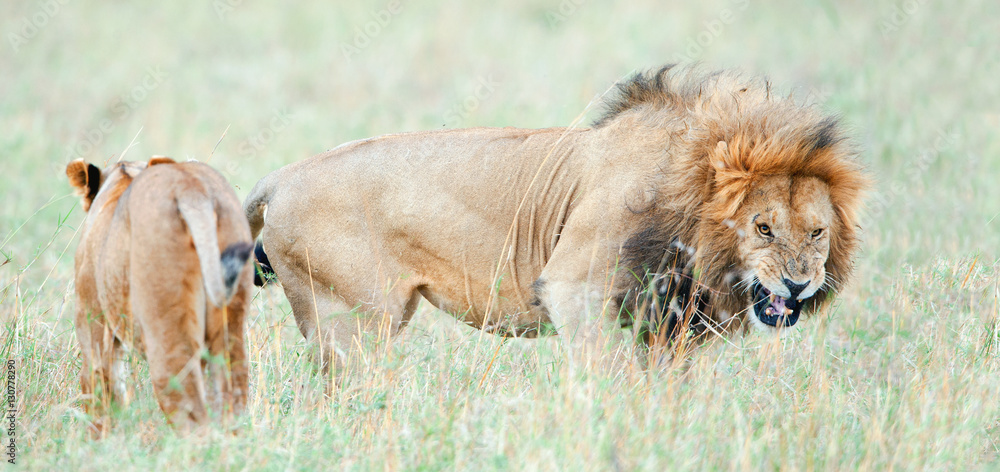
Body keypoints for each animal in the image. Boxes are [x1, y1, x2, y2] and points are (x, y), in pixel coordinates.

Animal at [67, 156, 254, 434]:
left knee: (191, 414)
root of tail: (189, 187)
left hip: (165, 327)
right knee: (231, 400)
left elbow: (100, 393)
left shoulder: (92, 323)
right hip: (230, 326)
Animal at [243, 65, 868, 371]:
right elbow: (605, 371)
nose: (798, 283)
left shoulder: (668, 325)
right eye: (763, 227)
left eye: (817, 232)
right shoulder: (574, 289)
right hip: (354, 321)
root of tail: (279, 176)